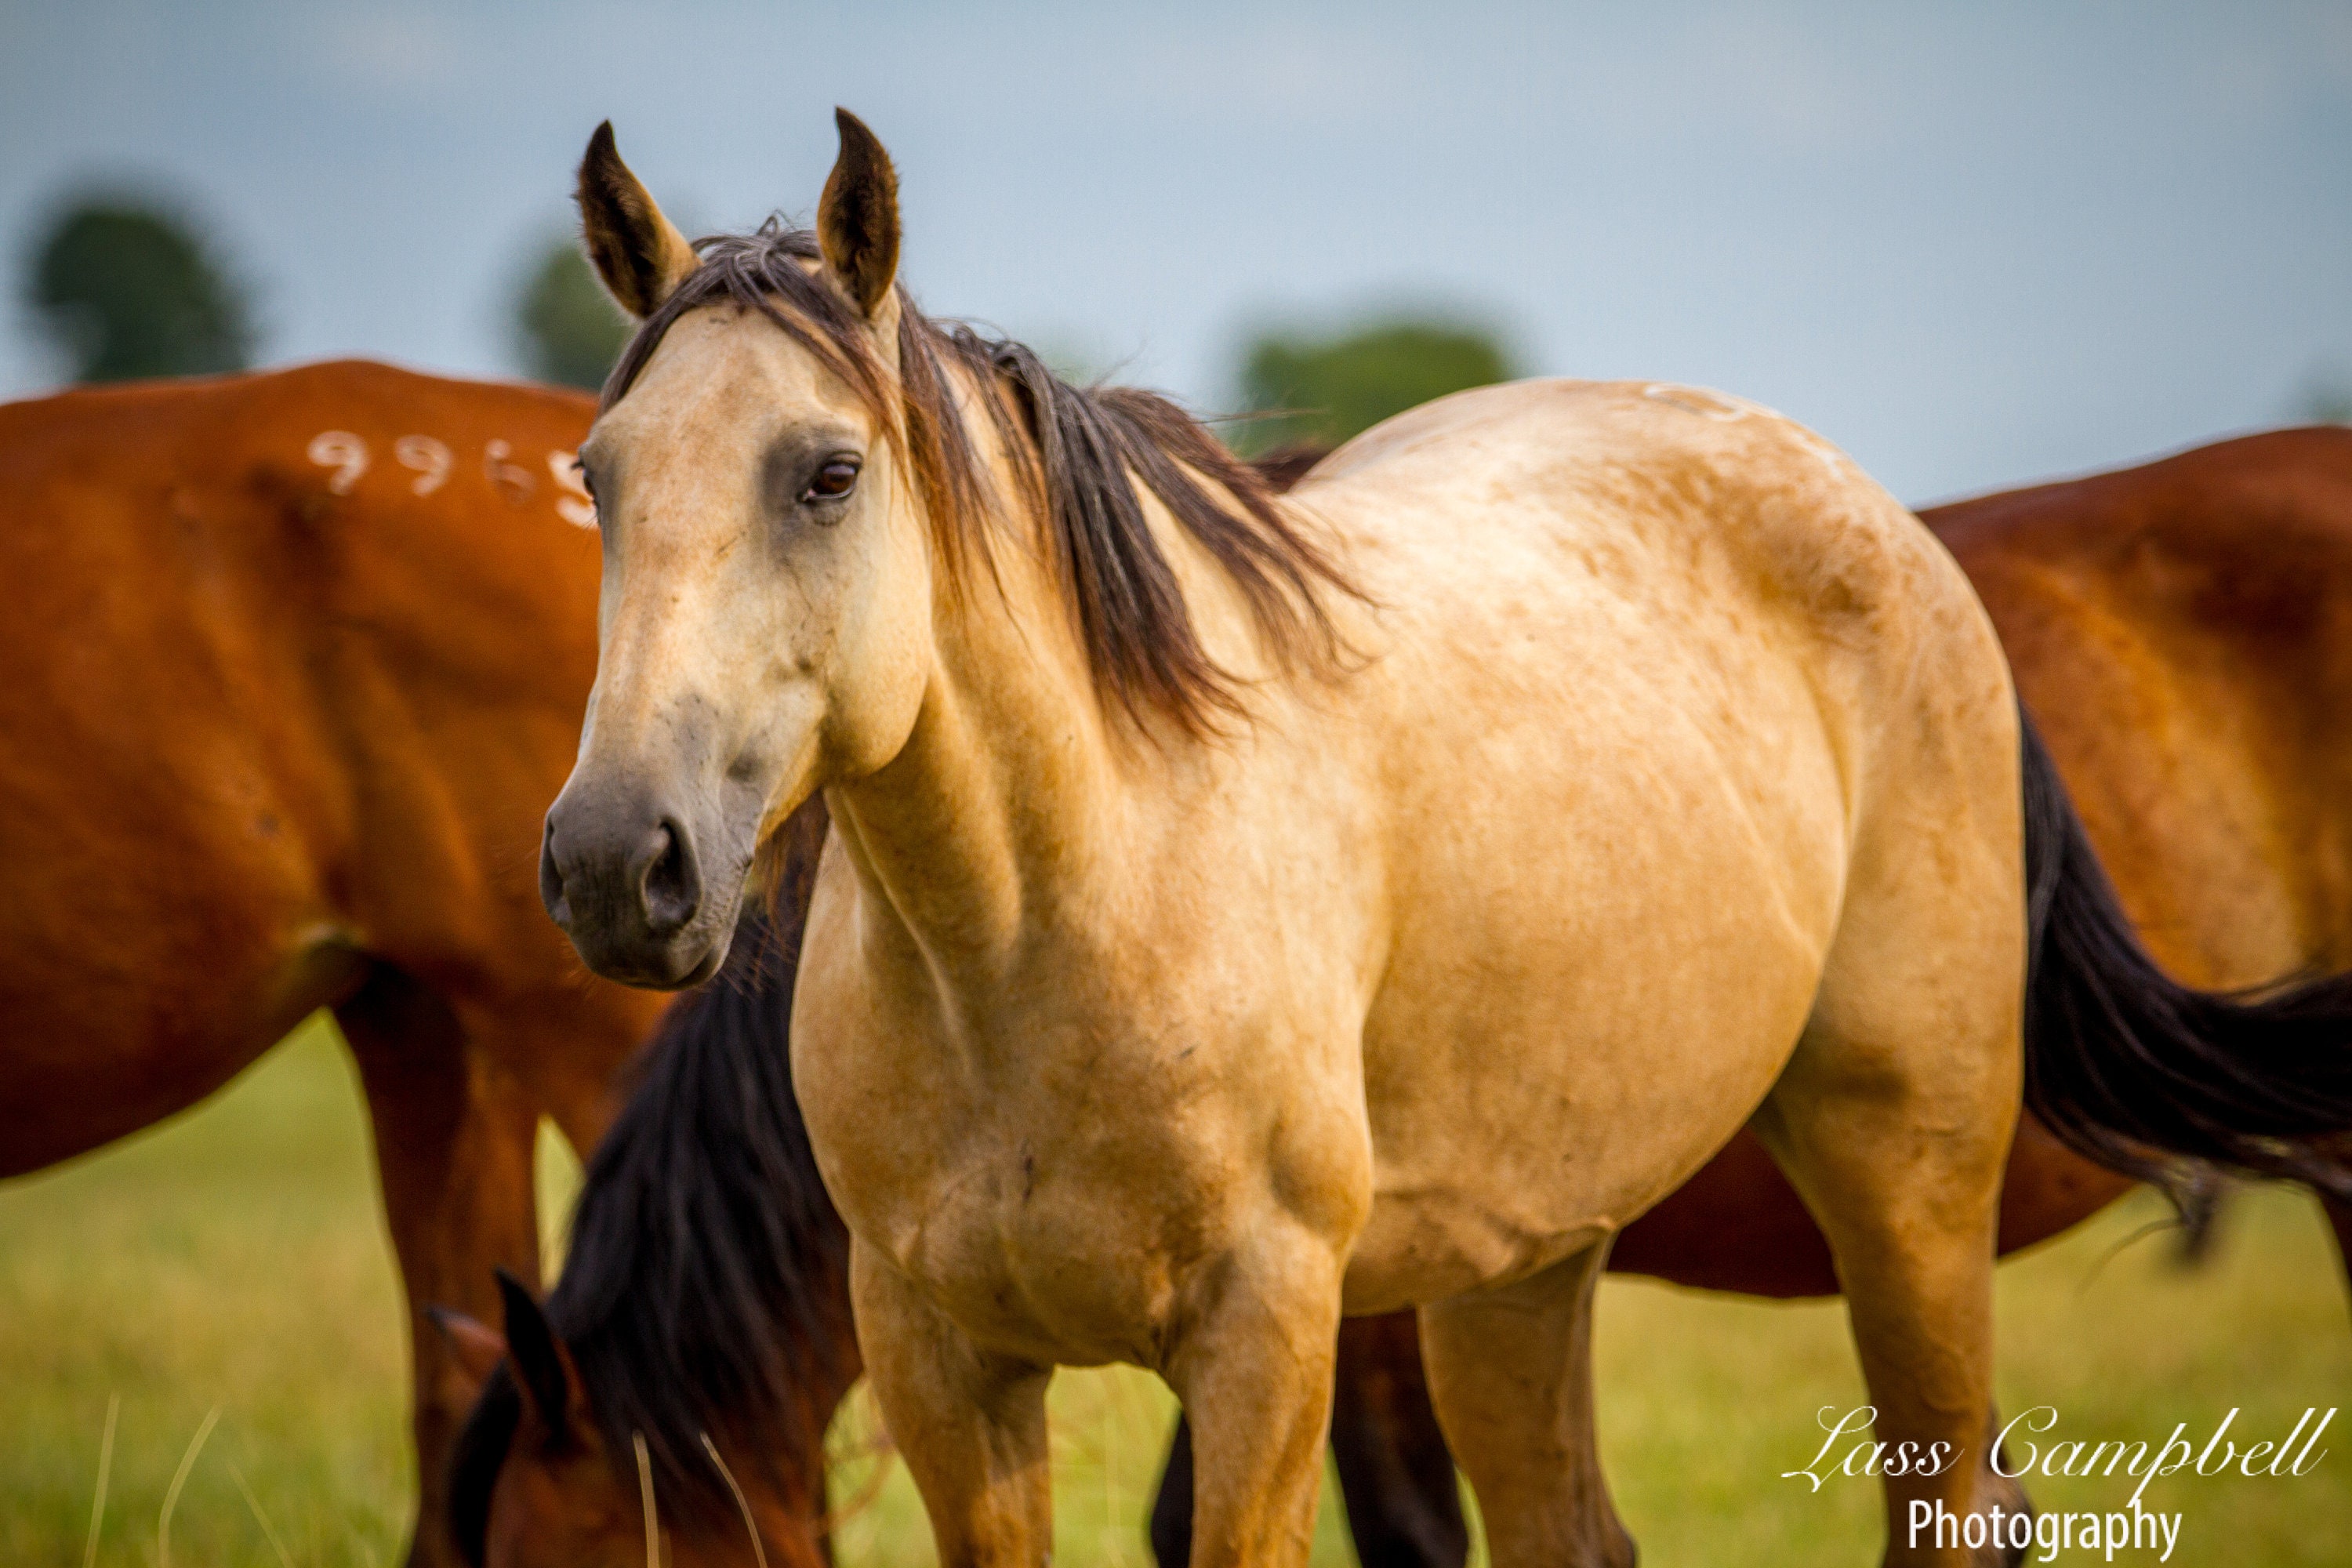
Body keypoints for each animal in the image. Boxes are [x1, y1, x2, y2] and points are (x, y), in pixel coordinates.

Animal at [536, 113, 2352, 1567]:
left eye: (827, 473)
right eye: (597, 477)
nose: (618, 861)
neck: (1058, 915)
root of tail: (1898, 534)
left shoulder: (1270, 1341)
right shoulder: (942, 1361)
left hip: (1904, 1178)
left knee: (1953, 1505)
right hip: (1522, 1264)